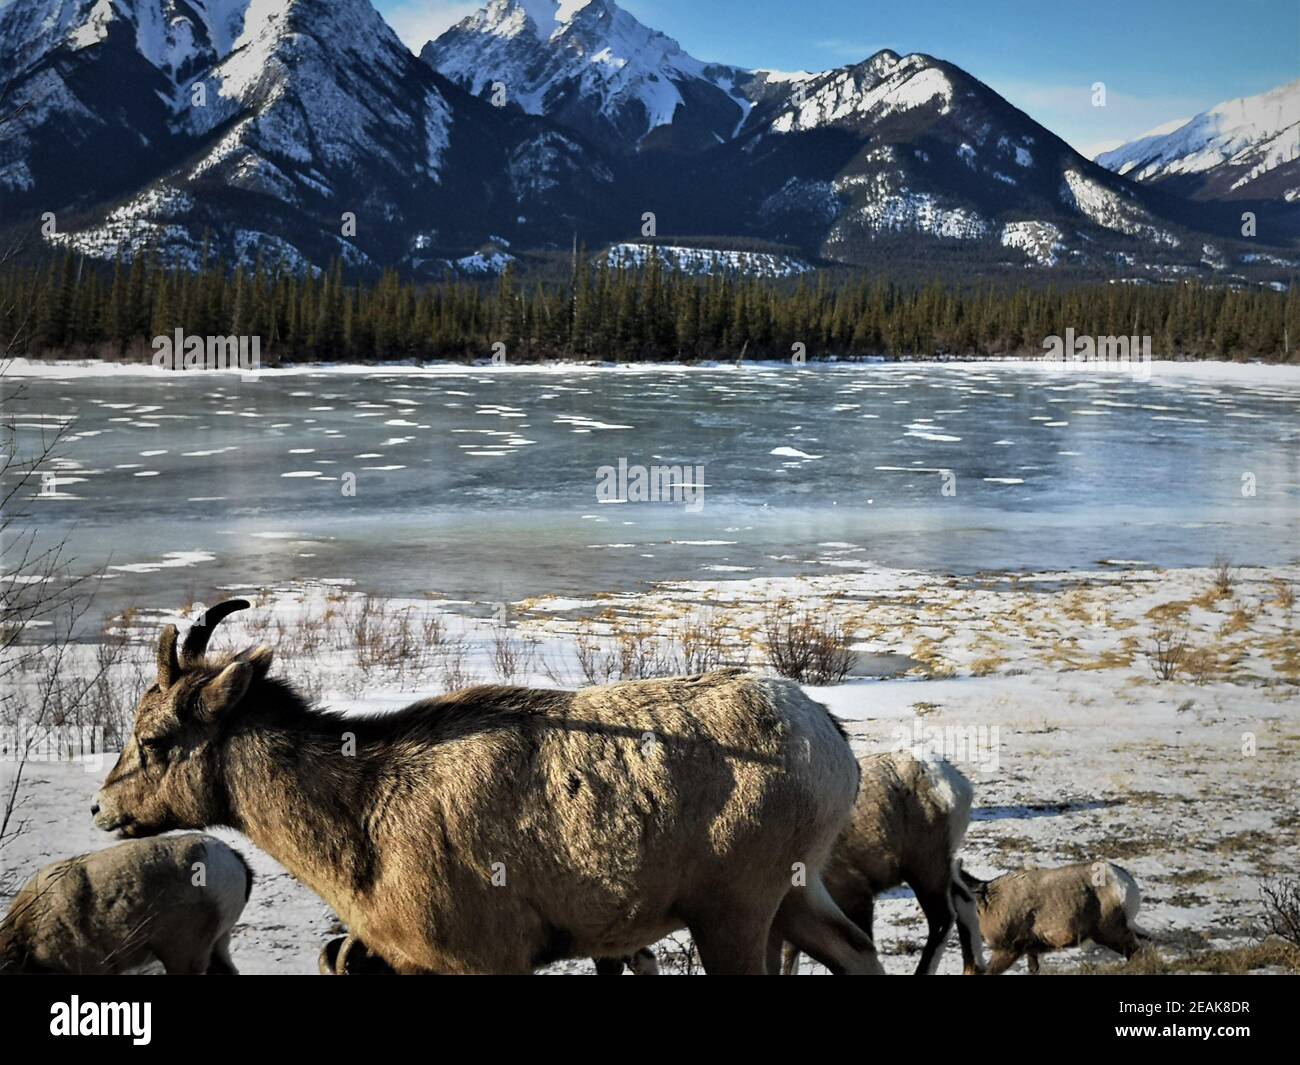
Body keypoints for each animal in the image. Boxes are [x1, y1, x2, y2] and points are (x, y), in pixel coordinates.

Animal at [93, 599, 883, 975]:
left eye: (154, 738)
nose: (103, 807)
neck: (360, 830)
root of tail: (834, 742)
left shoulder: (487, 957)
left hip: (735, 906)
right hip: (797, 890)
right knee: (857, 950)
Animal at [782, 750, 984, 975]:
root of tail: (958, 786)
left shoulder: (853, 893)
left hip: (926, 867)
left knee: (942, 918)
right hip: (943, 866)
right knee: (964, 898)